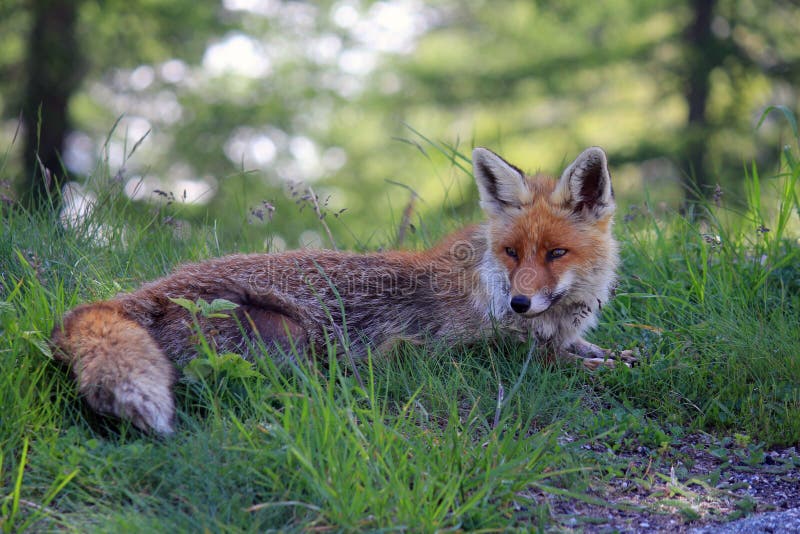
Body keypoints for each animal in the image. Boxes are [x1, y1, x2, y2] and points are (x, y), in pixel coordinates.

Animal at [52, 146, 634, 435]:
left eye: (556, 253)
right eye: (512, 253)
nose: (519, 302)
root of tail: (141, 292)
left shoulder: (557, 336)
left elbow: (607, 354)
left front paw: (623, 357)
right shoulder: (479, 350)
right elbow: (577, 366)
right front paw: (610, 370)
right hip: (284, 336)